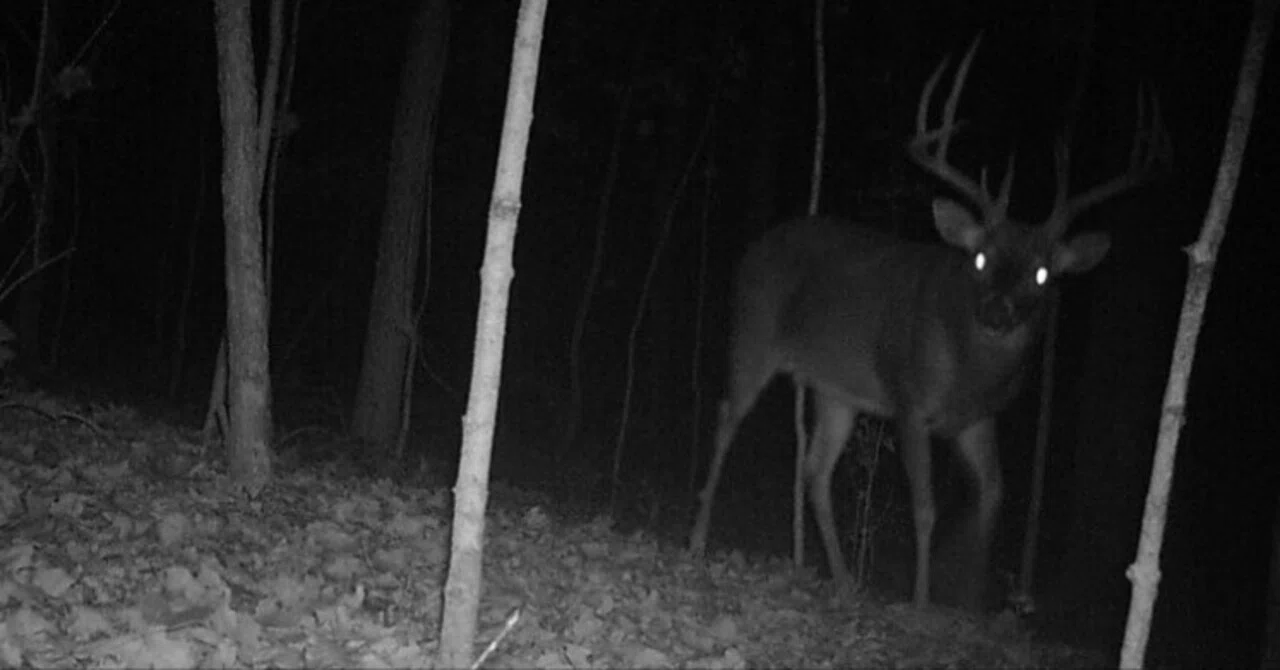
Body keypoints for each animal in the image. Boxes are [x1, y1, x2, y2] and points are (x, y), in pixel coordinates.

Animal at [688, 37, 1167, 608]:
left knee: (816, 470)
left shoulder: (981, 418)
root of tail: (753, 248)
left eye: (1043, 272)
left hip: (836, 389)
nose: (998, 311)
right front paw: (919, 602)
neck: (968, 369)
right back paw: (697, 540)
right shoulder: (908, 399)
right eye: (980, 258)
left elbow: (994, 496)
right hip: (752, 331)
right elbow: (925, 507)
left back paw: (844, 581)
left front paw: (970, 601)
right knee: (726, 417)